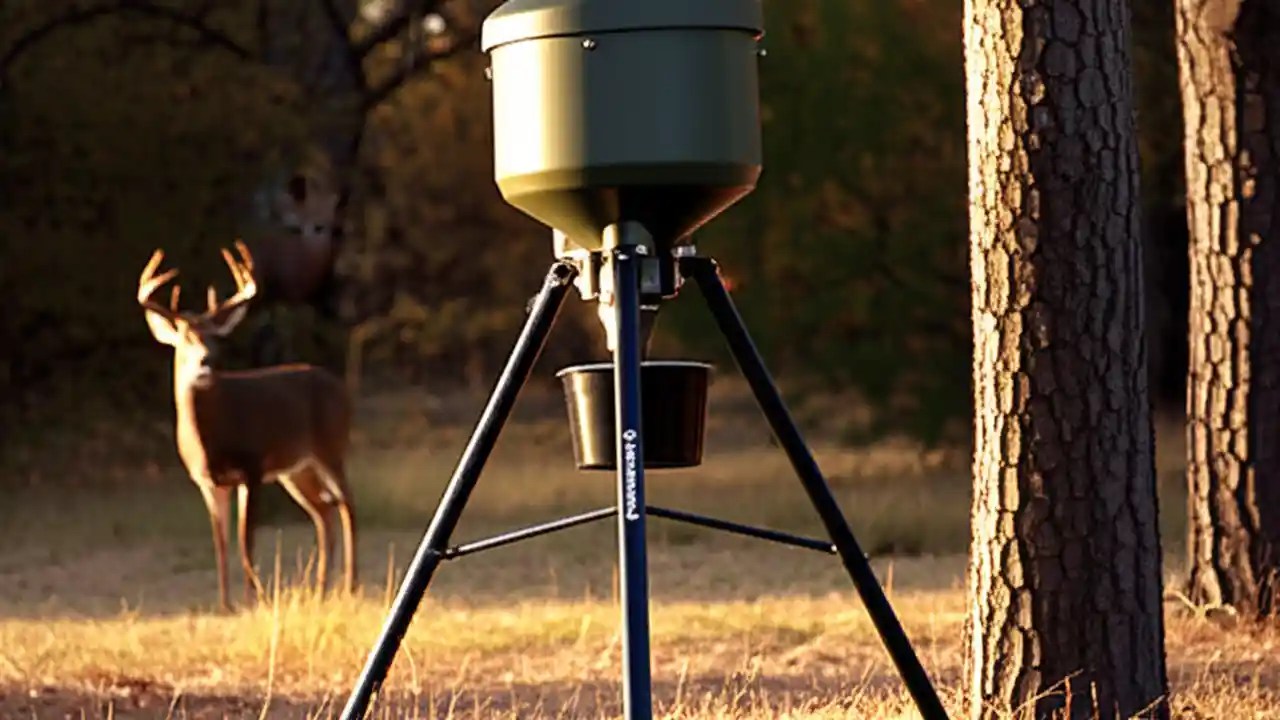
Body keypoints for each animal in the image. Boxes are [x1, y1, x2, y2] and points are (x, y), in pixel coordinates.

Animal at [136, 241, 357, 611]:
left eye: (215, 338)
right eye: (185, 338)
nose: (206, 361)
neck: (210, 441)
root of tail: (341, 387)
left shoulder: (252, 469)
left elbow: (244, 539)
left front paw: (254, 600)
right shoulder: (207, 482)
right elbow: (220, 544)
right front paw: (225, 605)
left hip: (331, 446)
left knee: (347, 505)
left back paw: (350, 586)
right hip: (296, 470)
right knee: (325, 511)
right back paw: (321, 590)